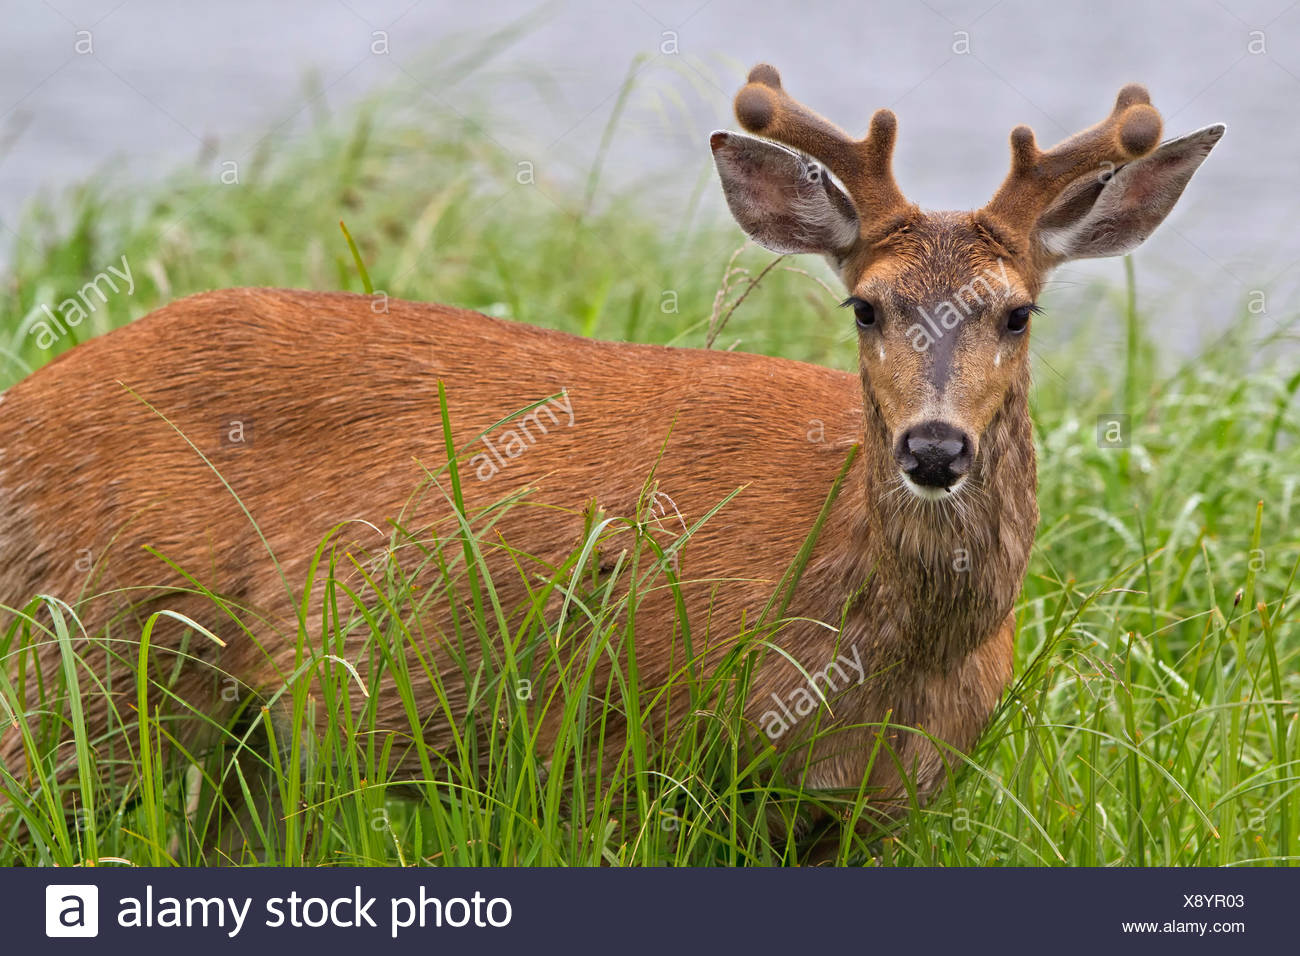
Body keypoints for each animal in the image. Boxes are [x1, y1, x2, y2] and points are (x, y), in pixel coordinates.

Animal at [0, 64, 1222, 859]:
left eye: (1017, 312)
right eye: (865, 304)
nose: (932, 446)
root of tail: (23, 408)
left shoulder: (874, 816)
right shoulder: (626, 758)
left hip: (249, 735)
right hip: (86, 656)